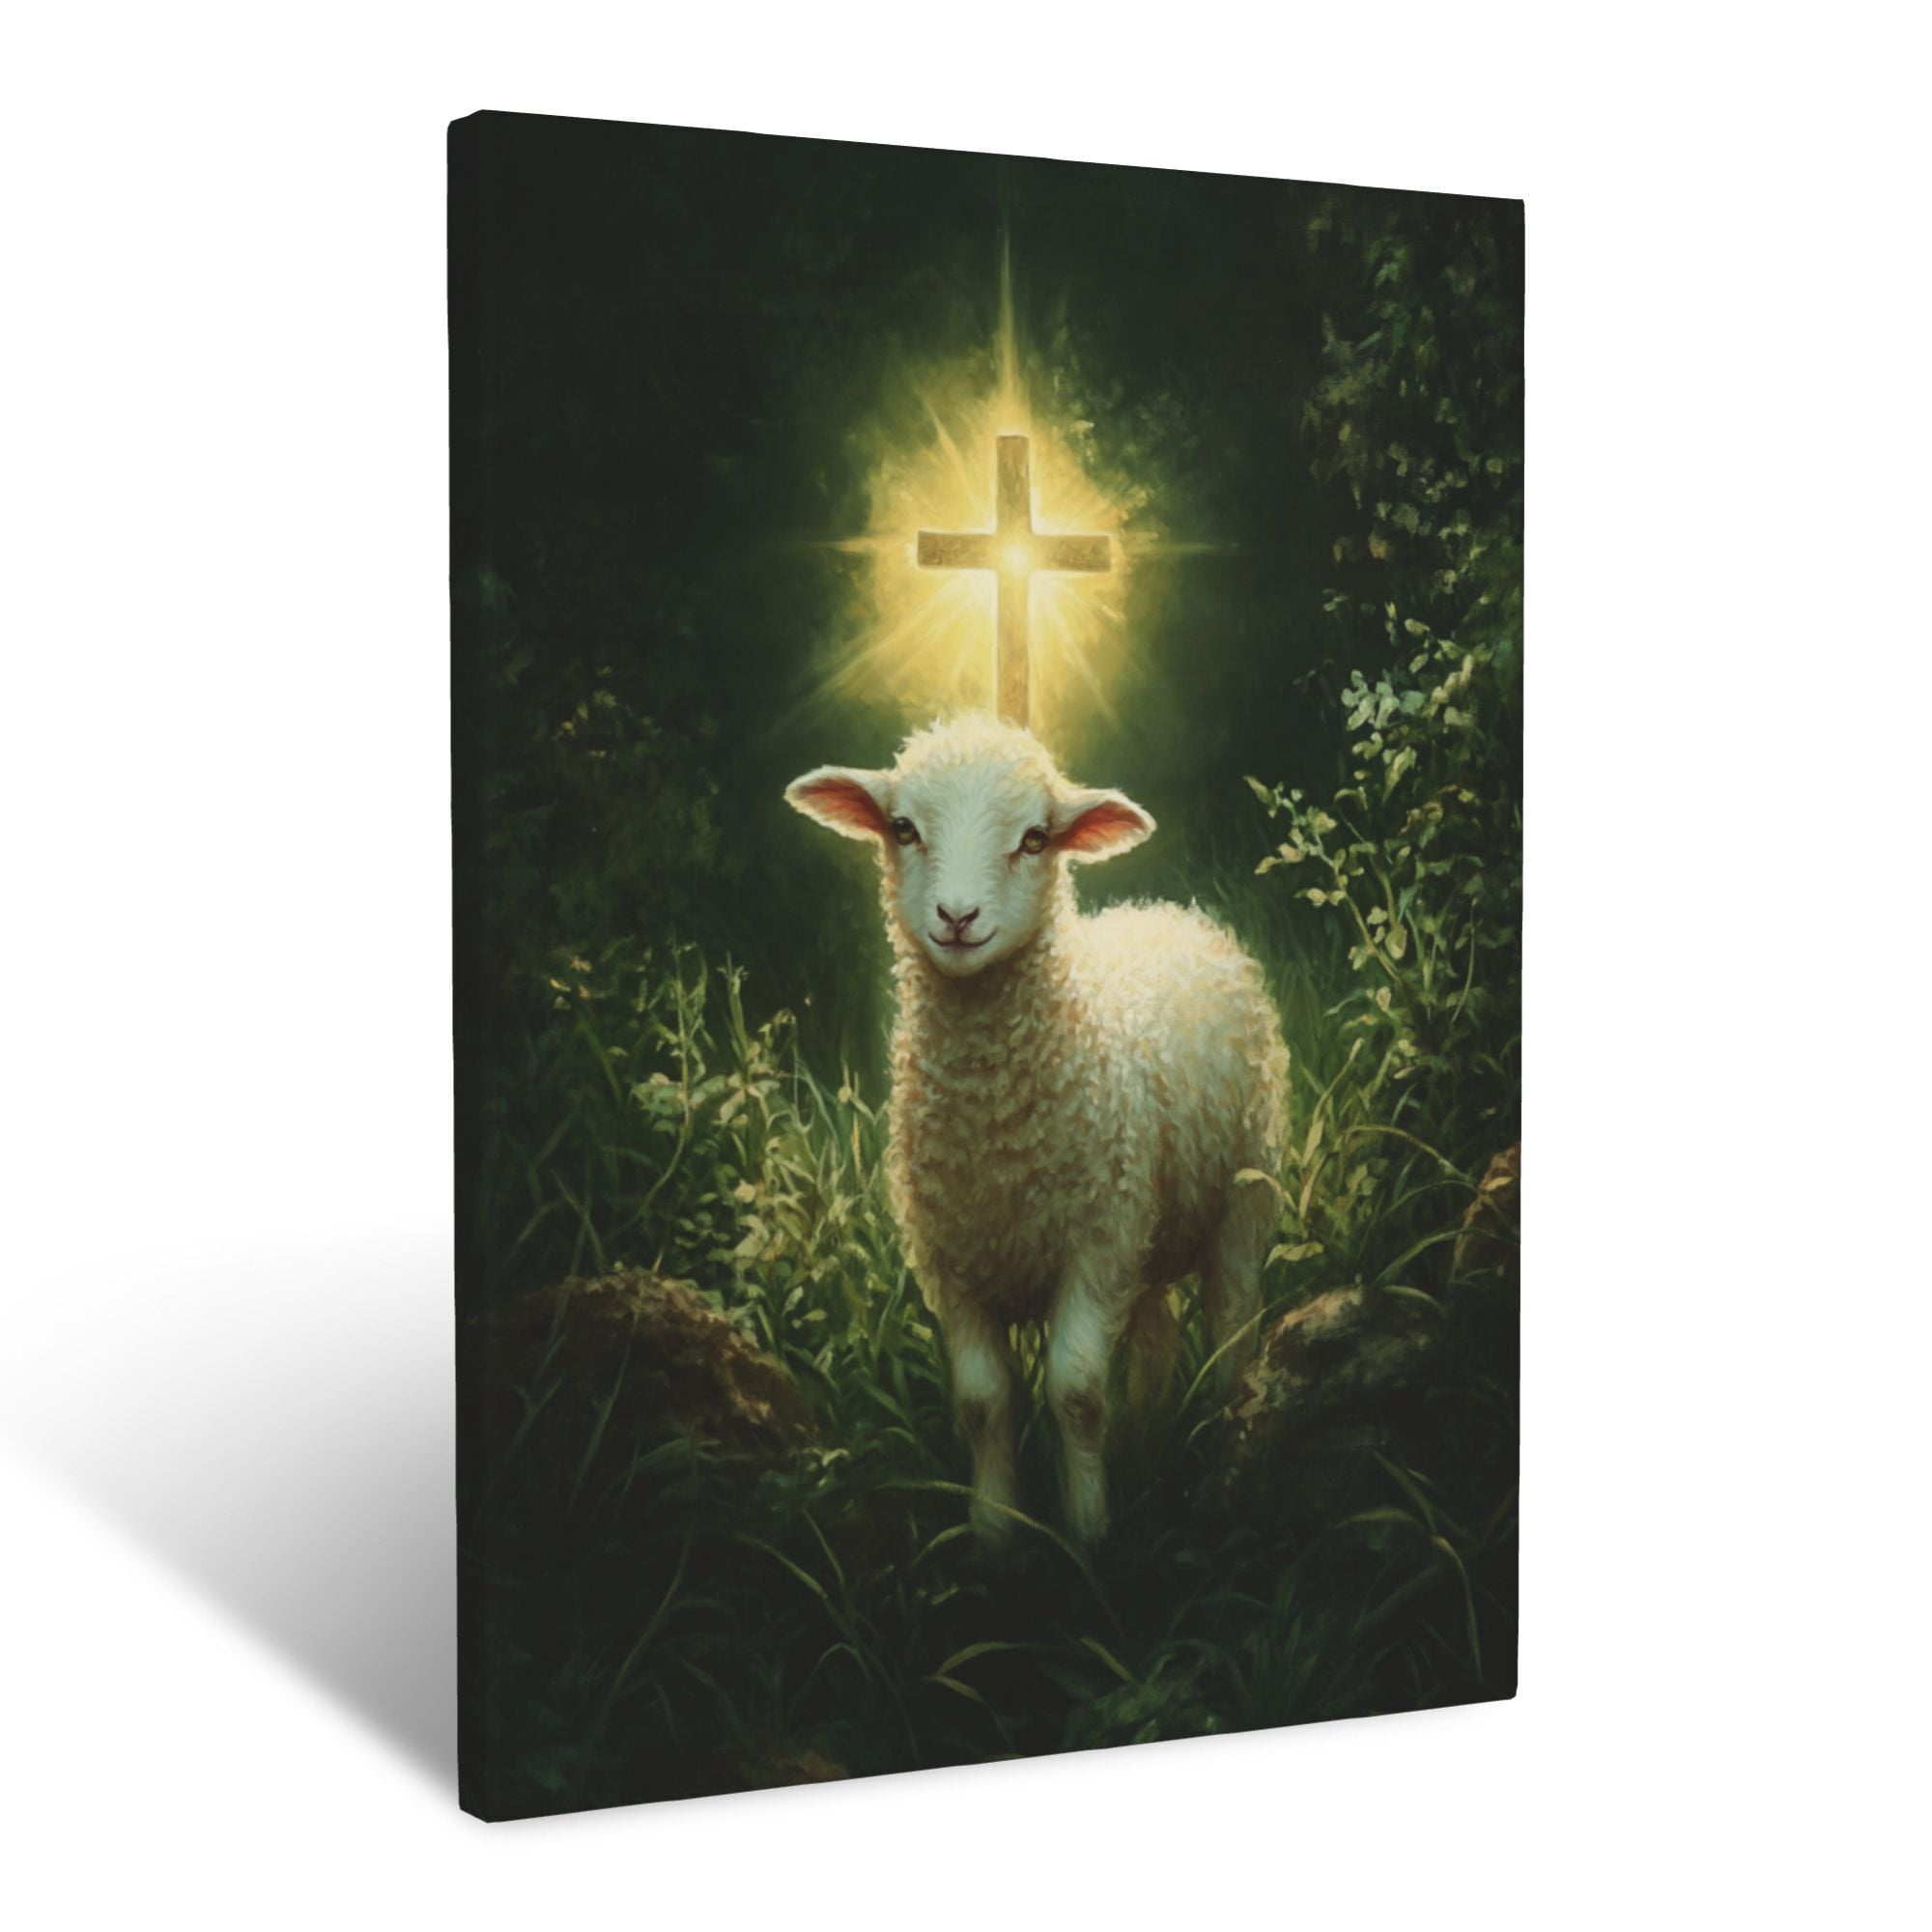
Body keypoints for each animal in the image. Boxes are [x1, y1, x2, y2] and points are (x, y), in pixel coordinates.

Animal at [786, 713, 1288, 1545]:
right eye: (902, 828)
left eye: (1034, 838)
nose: (957, 918)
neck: (996, 1121)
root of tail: (1170, 912)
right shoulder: (951, 1261)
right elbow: (983, 1402)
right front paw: (995, 1532)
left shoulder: (1093, 1242)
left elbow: (1076, 1390)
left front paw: (1088, 1534)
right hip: (1144, 1226)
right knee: (1157, 1333)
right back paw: (1145, 1438)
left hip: (1243, 1196)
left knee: (1233, 1329)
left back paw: (1219, 1439)